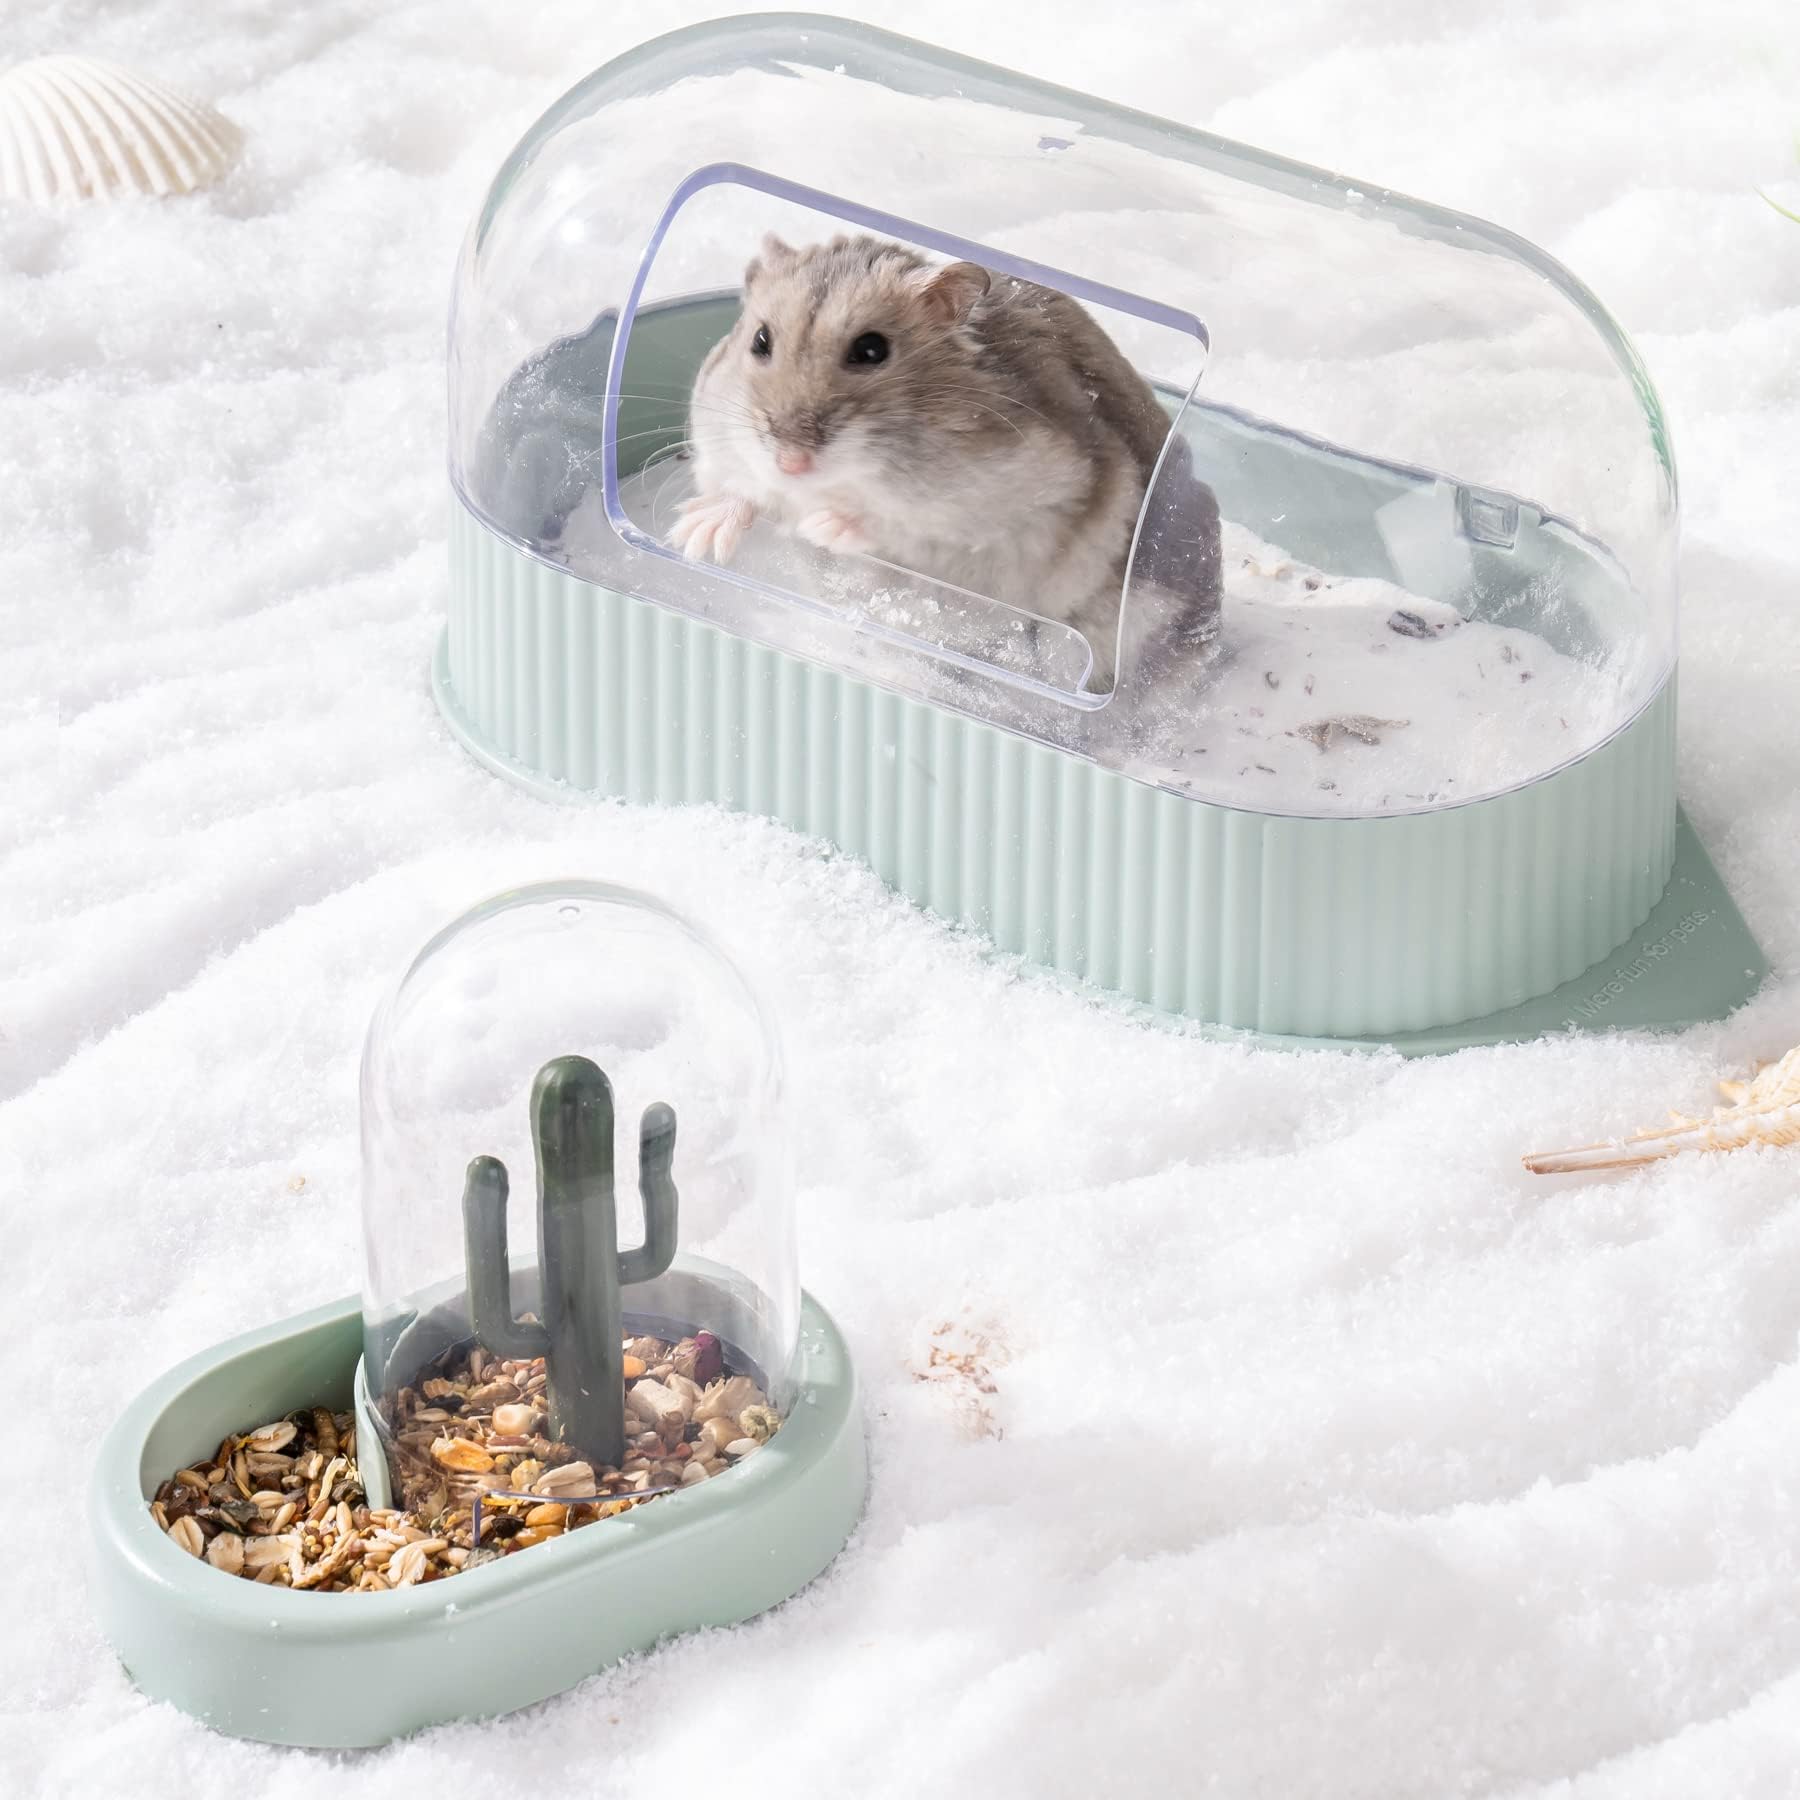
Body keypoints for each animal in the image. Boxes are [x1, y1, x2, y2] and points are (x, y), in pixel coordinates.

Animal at [670, 233, 1217, 690]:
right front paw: (695, 535)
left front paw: (824, 526)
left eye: (872, 349)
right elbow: (743, 491)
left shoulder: (1032, 502)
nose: (791, 462)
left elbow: (907, 532)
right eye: (760, 340)